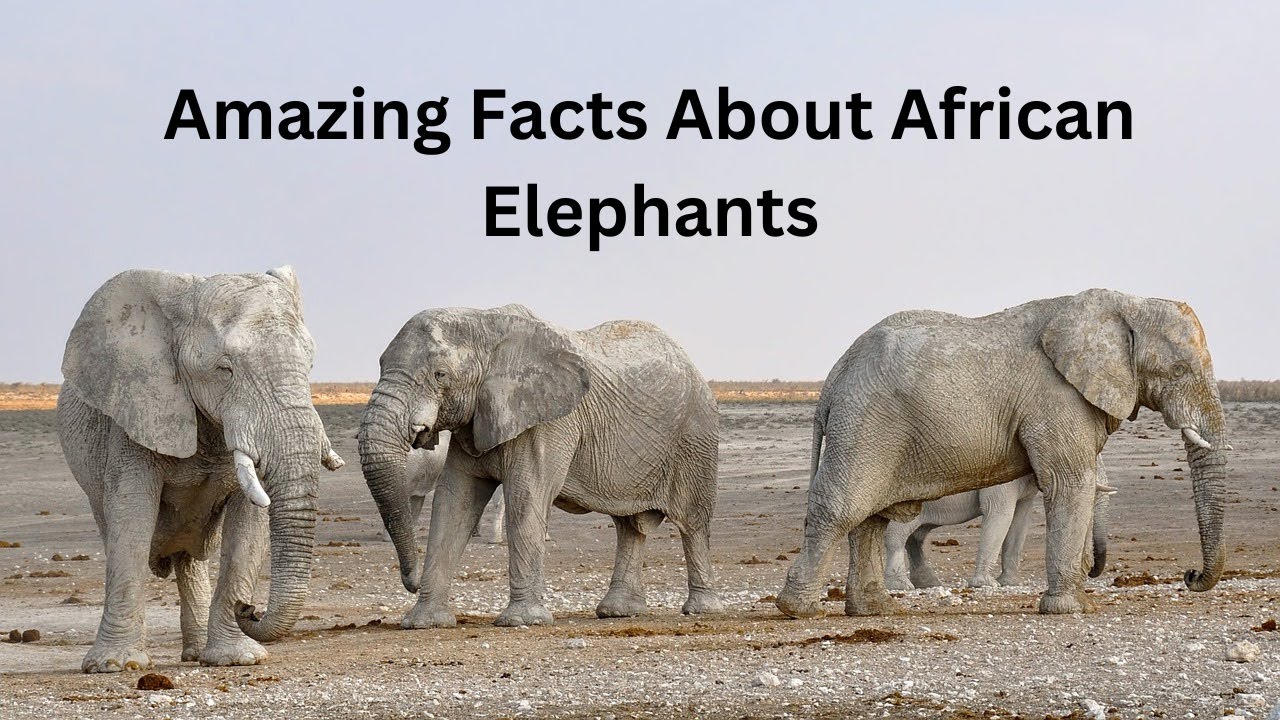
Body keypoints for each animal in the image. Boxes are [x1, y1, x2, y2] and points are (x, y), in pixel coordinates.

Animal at [57, 266, 343, 672]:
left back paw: (196, 654)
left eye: (310, 366)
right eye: (225, 369)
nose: (251, 608)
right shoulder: (135, 410)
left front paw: (238, 659)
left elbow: (248, 525)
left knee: (189, 559)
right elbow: (131, 515)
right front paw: (115, 666)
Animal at [358, 304, 723, 628]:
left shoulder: (549, 421)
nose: (411, 582)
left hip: (696, 435)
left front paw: (522, 621)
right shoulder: (475, 420)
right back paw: (618, 612)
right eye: (380, 364)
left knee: (692, 521)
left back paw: (701, 610)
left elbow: (526, 495)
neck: (484, 322)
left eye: (440, 375)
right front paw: (424, 623)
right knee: (630, 526)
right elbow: (454, 502)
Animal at [883, 466, 1115, 591]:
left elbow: (1020, 520)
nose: (1090, 570)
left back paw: (928, 584)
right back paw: (901, 586)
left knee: (916, 537)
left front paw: (1010, 583)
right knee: (898, 535)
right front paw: (987, 584)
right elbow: (1000, 514)